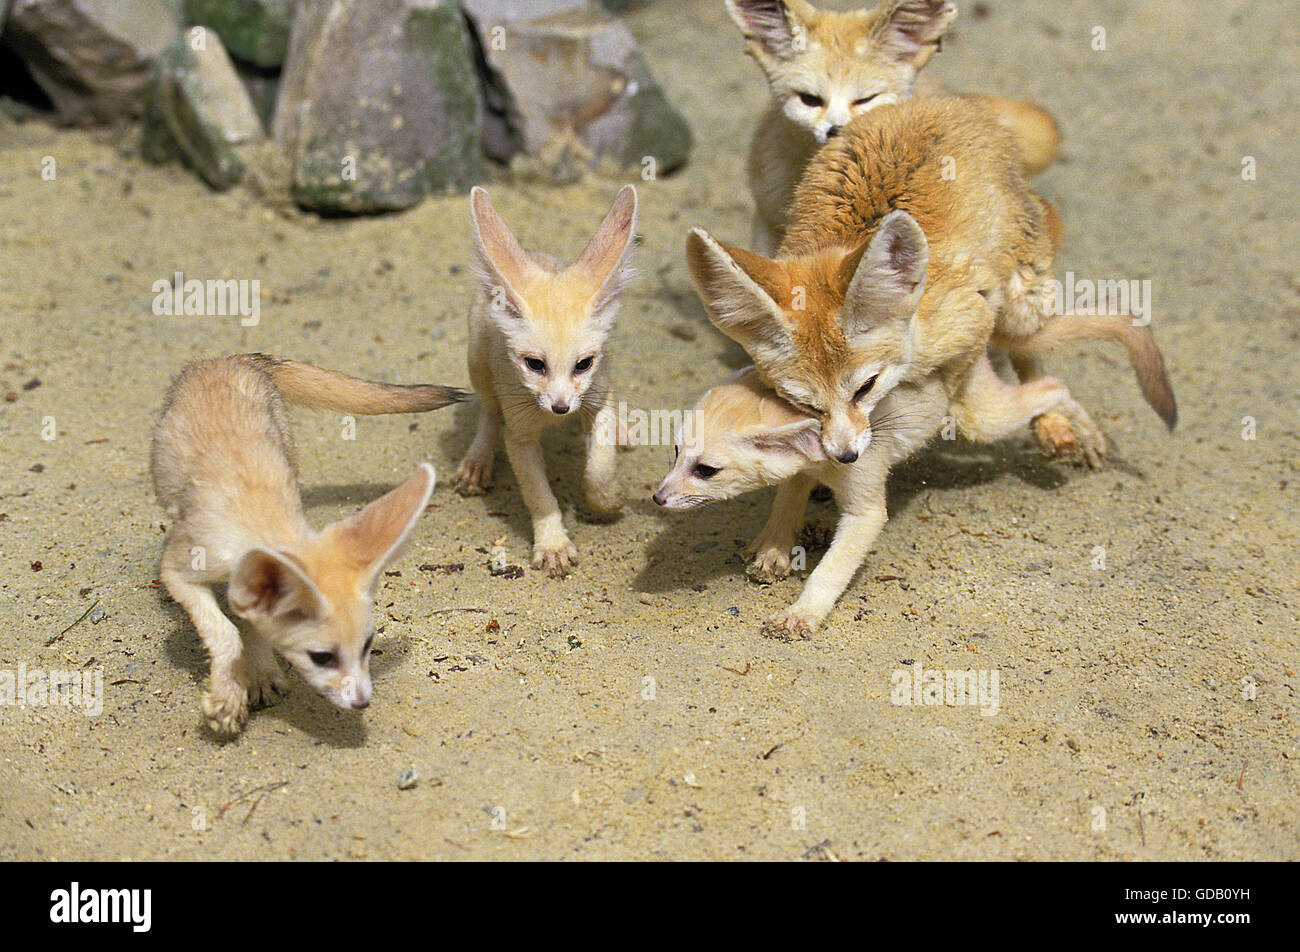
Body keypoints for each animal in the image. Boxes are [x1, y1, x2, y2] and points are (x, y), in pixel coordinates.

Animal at [150, 353, 462, 735]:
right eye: (322, 657)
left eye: (368, 645)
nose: (363, 702)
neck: (264, 521)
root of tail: (229, 359)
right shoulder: (179, 569)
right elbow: (225, 632)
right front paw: (227, 696)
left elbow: (251, 627)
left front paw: (259, 673)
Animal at [454, 185, 638, 577]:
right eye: (534, 365)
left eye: (583, 364)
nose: (561, 408)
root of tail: (536, 255)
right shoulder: (519, 435)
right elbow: (539, 495)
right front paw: (553, 543)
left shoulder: (597, 396)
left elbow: (599, 467)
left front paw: (609, 498)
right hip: (478, 363)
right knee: (489, 411)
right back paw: (477, 460)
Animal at [653, 366, 947, 636]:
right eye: (676, 451)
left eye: (706, 470)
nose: (657, 498)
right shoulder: (799, 471)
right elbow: (785, 505)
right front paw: (773, 551)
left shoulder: (865, 509)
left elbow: (830, 569)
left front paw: (803, 612)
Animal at [687, 96, 1176, 479]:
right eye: (801, 403)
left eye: (865, 387)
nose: (844, 456)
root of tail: (944, 101)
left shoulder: (972, 320)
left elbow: (971, 408)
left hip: (1025, 300)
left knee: (1033, 313)